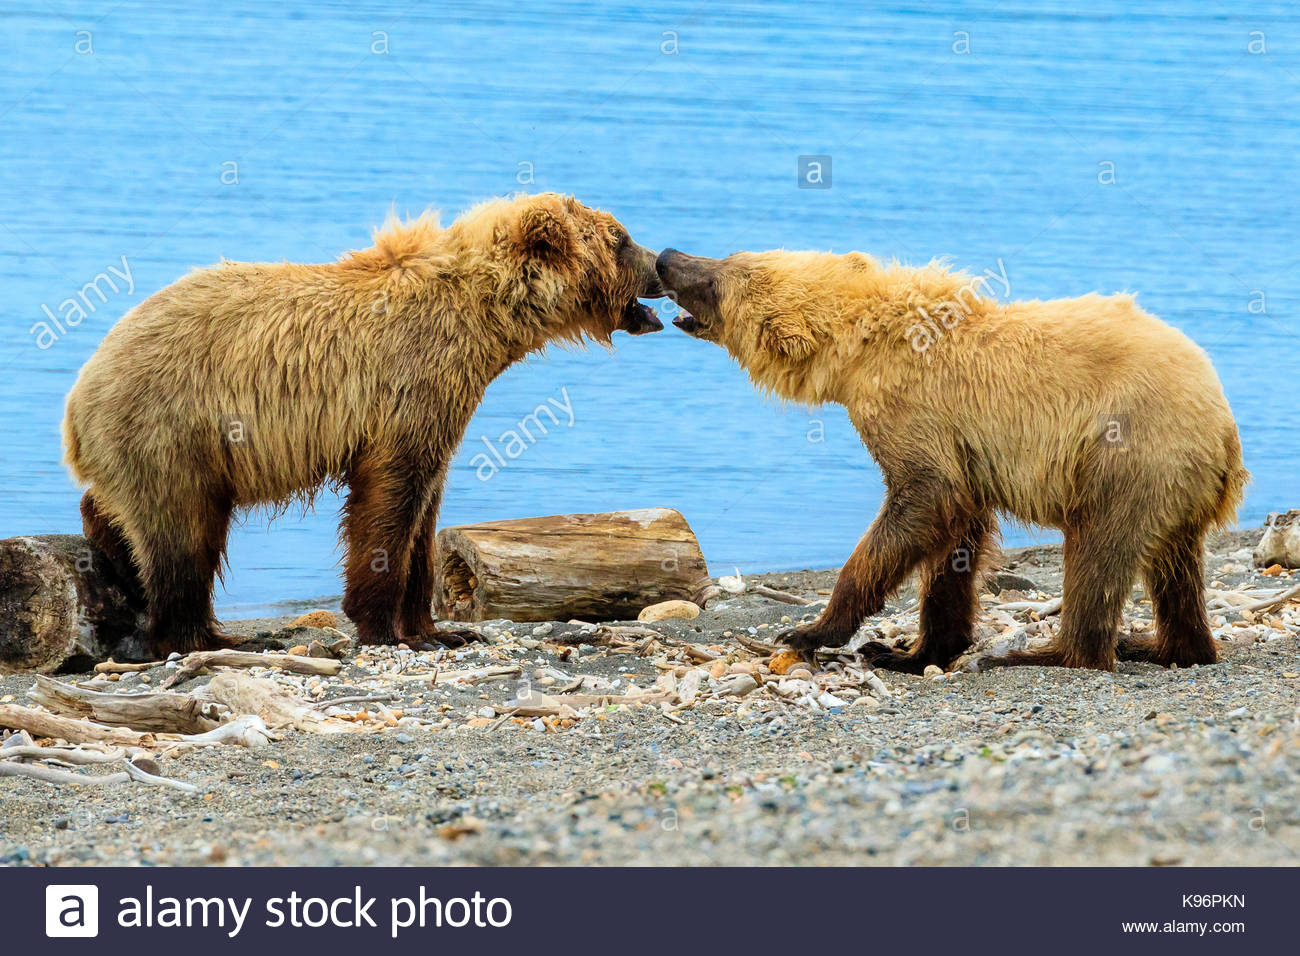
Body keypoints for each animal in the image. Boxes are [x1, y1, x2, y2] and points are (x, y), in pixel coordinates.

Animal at [63, 193, 665, 657]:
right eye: (621, 237)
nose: (661, 263)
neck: (485, 320)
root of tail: (77, 398)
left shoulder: (441, 404)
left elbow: (425, 510)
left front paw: (438, 629)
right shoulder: (404, 391)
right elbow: (388, 503)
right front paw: (386, 627)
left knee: (123, 512)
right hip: (172, 427)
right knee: (183, 535)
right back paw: (209, 637)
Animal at [656, 246, 1247, 672]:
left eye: (718, 280)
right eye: (730, 255)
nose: (666, 255)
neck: (863, 346)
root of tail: (1224, 425)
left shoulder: (915, 412)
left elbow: (920, 501)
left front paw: (811, 630)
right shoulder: (967, 451)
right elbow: (955, 540)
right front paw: (912, 650)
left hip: (1125, 453)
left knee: (1098, 550)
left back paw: (1046, 653)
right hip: (1173, 482)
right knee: (1174, 567)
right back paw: (1165, 645)